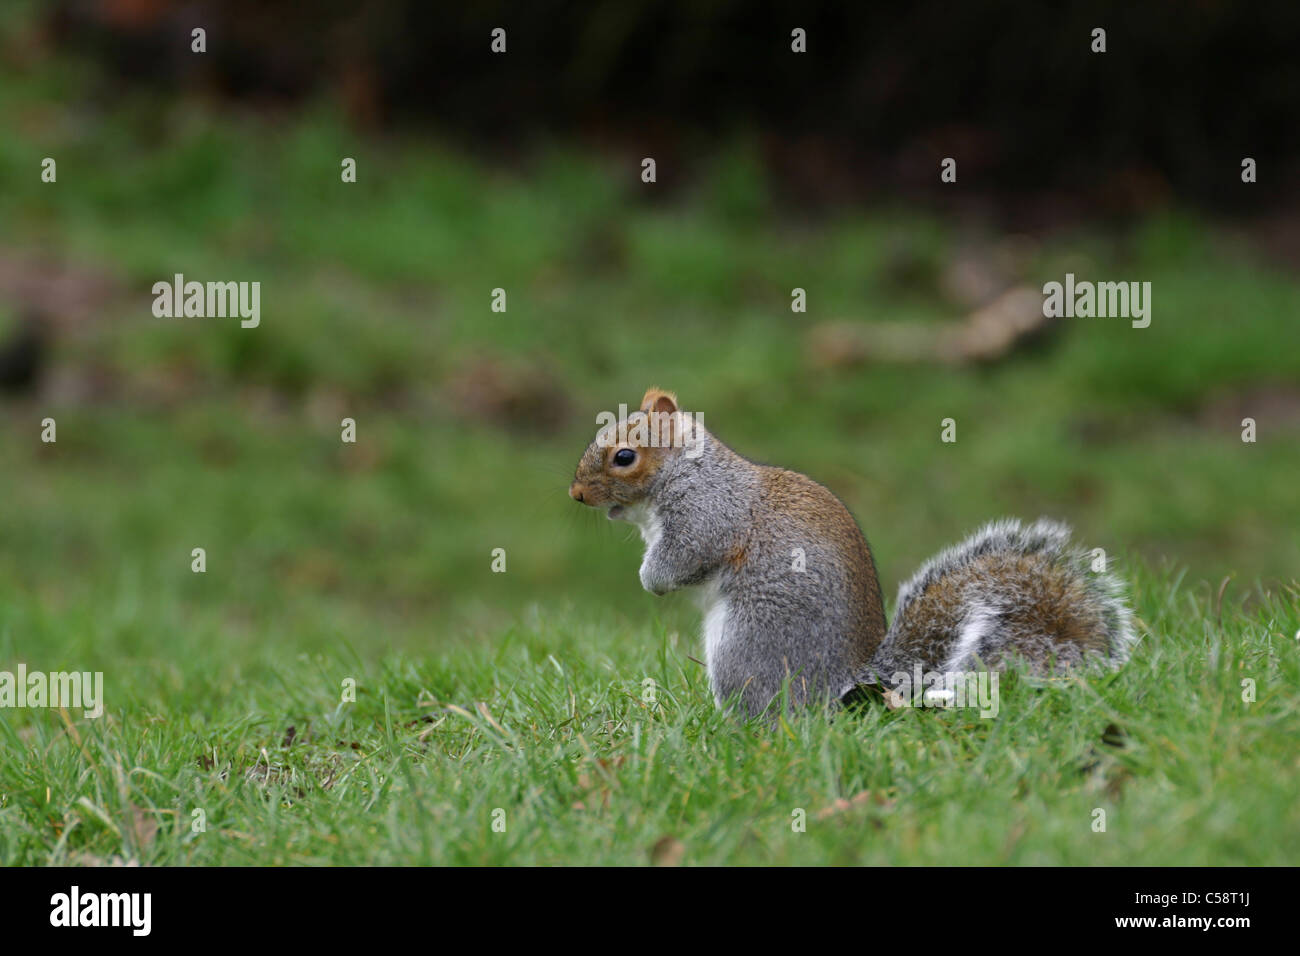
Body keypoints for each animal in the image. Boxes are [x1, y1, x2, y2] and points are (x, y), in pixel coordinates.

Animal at [569, 387, 1136, 719]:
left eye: (624, 456)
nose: (574, 495)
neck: (685, 472)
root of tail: (848, 684)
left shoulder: (707, 515)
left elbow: (683, 557)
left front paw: (651, 580)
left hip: (745, 645)